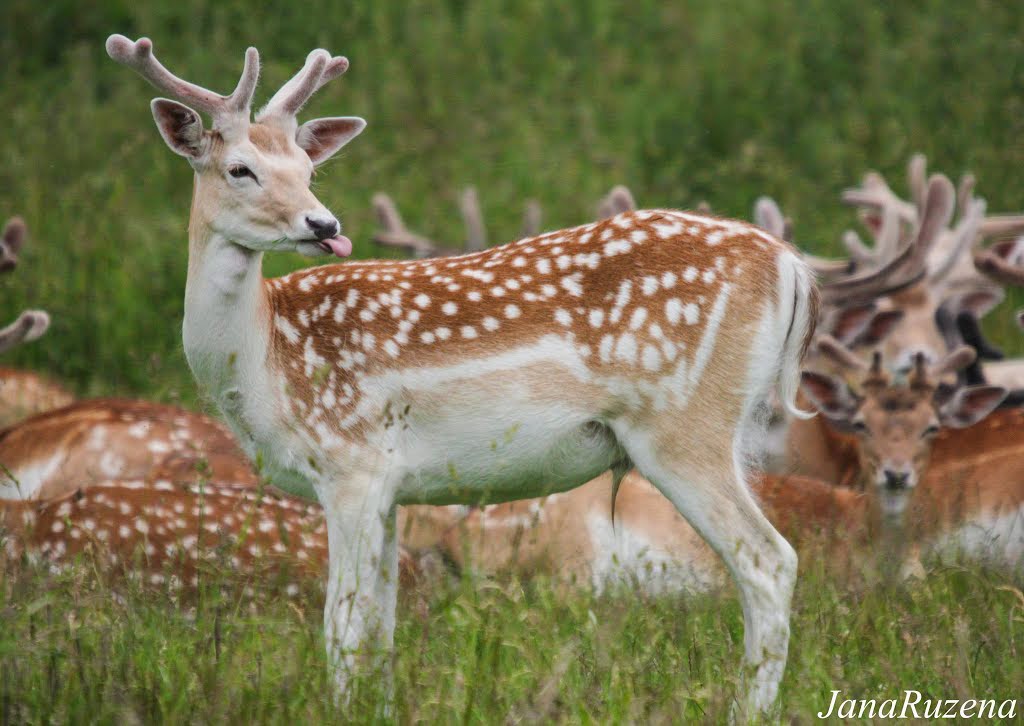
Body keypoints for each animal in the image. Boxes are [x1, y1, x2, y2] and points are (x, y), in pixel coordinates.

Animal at [106, 34, 820, 715]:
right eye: (240, 168)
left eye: (309, 170)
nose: (324, 223)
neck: (264, 364)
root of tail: (789, 265)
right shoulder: (389, 490)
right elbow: (380, 631)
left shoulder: (350, 463)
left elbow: (341, 628)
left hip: (683, 424)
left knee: (768, 561)